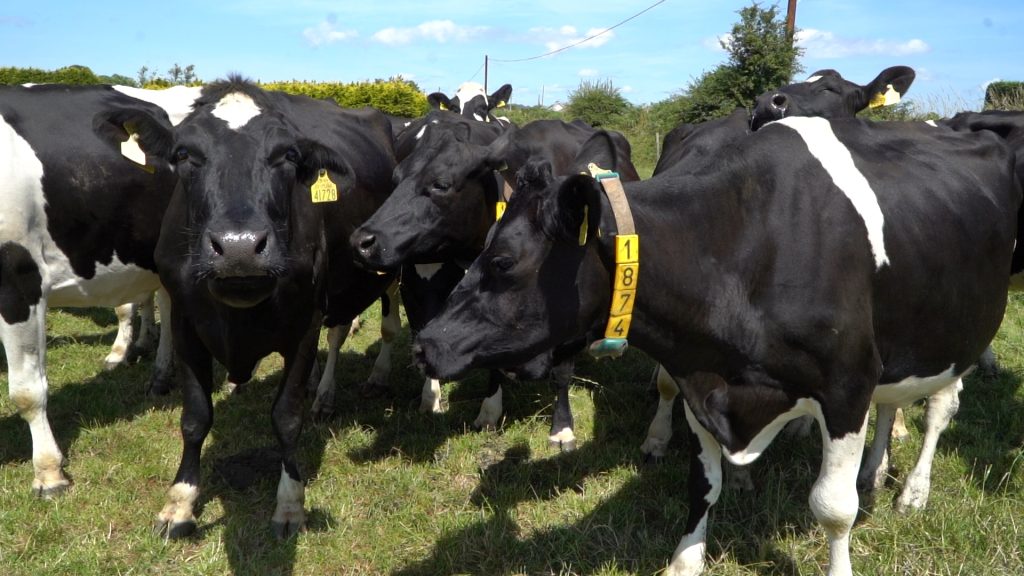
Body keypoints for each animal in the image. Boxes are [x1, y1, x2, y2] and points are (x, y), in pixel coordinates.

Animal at [144, 77, 395, 538]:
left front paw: (290, 504)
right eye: (184, 154)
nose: (239, 249)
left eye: (288, 156)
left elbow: (287, 416)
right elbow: (195, 417)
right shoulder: (185, 322)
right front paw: (180, 503)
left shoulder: (306, 323)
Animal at [351, 116, 638, 449]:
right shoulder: (417, 283)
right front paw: (443, 400)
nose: (362, 242)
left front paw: (561, 428)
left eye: (441, 184)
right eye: (395, 178)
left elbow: (561, 371)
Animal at [412, 116, 1020, 575]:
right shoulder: (700, 377)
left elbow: (833, 508)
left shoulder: (846, 383)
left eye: (502, 262)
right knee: (892, 404)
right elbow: (703, 486)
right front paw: (685, 561)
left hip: (959, 334)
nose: (425, 344)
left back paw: (911, 492)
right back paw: (875, 472)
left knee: (939, 409)